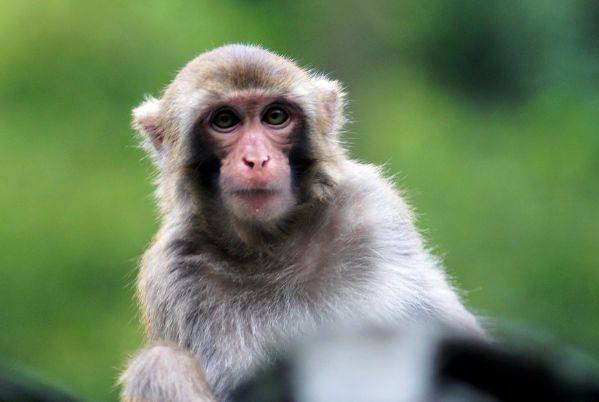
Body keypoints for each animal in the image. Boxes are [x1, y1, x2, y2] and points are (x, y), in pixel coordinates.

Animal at [119, 44, 486, 402]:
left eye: (275, 116)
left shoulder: (374, 212)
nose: (256, 160)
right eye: (224, 120)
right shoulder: (174, 274)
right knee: (160, 363)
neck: (271, 244)